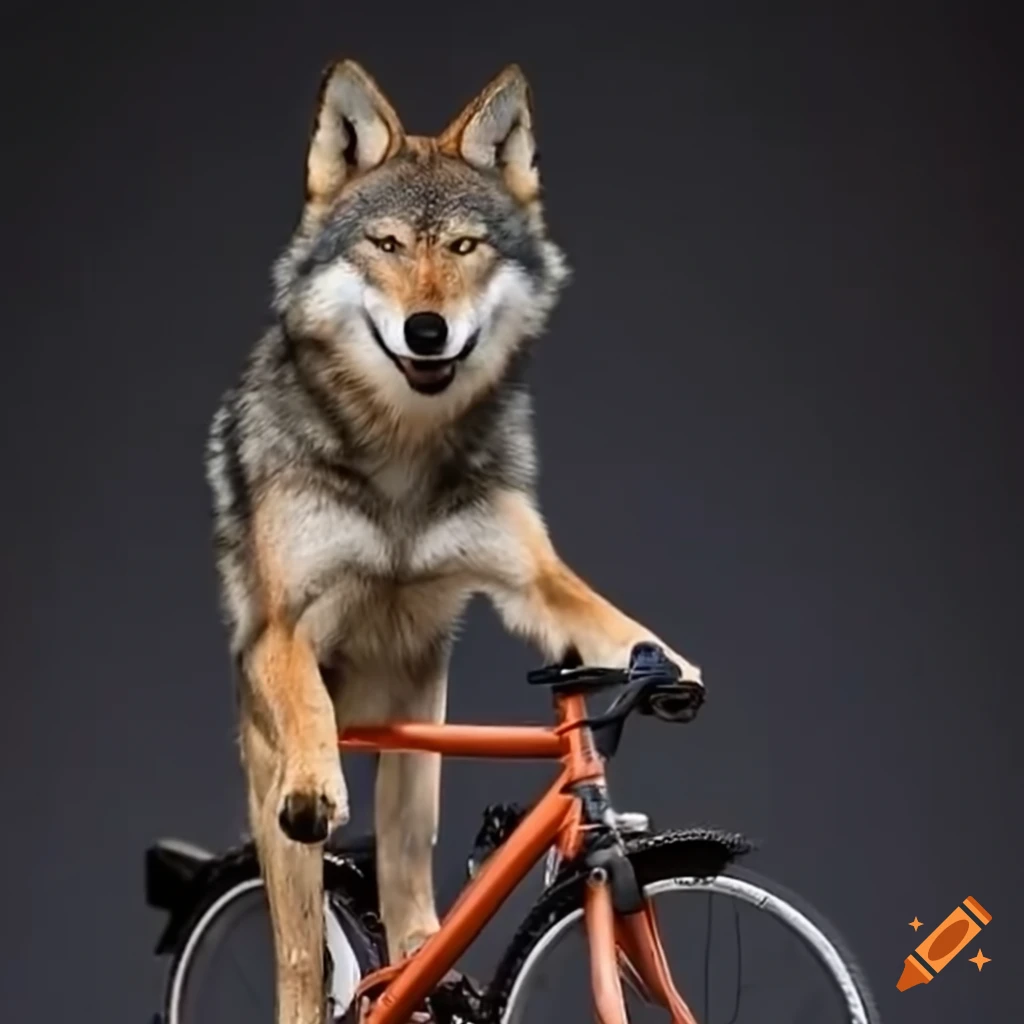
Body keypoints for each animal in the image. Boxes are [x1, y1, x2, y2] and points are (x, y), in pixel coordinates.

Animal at [204, 59, 703, 1023]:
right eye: (389, 245)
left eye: (467, 247)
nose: (426, 330)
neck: (402, 447)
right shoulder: (282, 626)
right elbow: (307, 710)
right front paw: (319, 780)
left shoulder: (533, 576)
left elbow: (604, 616)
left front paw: (671, 669)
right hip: (284, 808)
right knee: (302, 952)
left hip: (418, 747)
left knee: (405, 885)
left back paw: (422, 974)